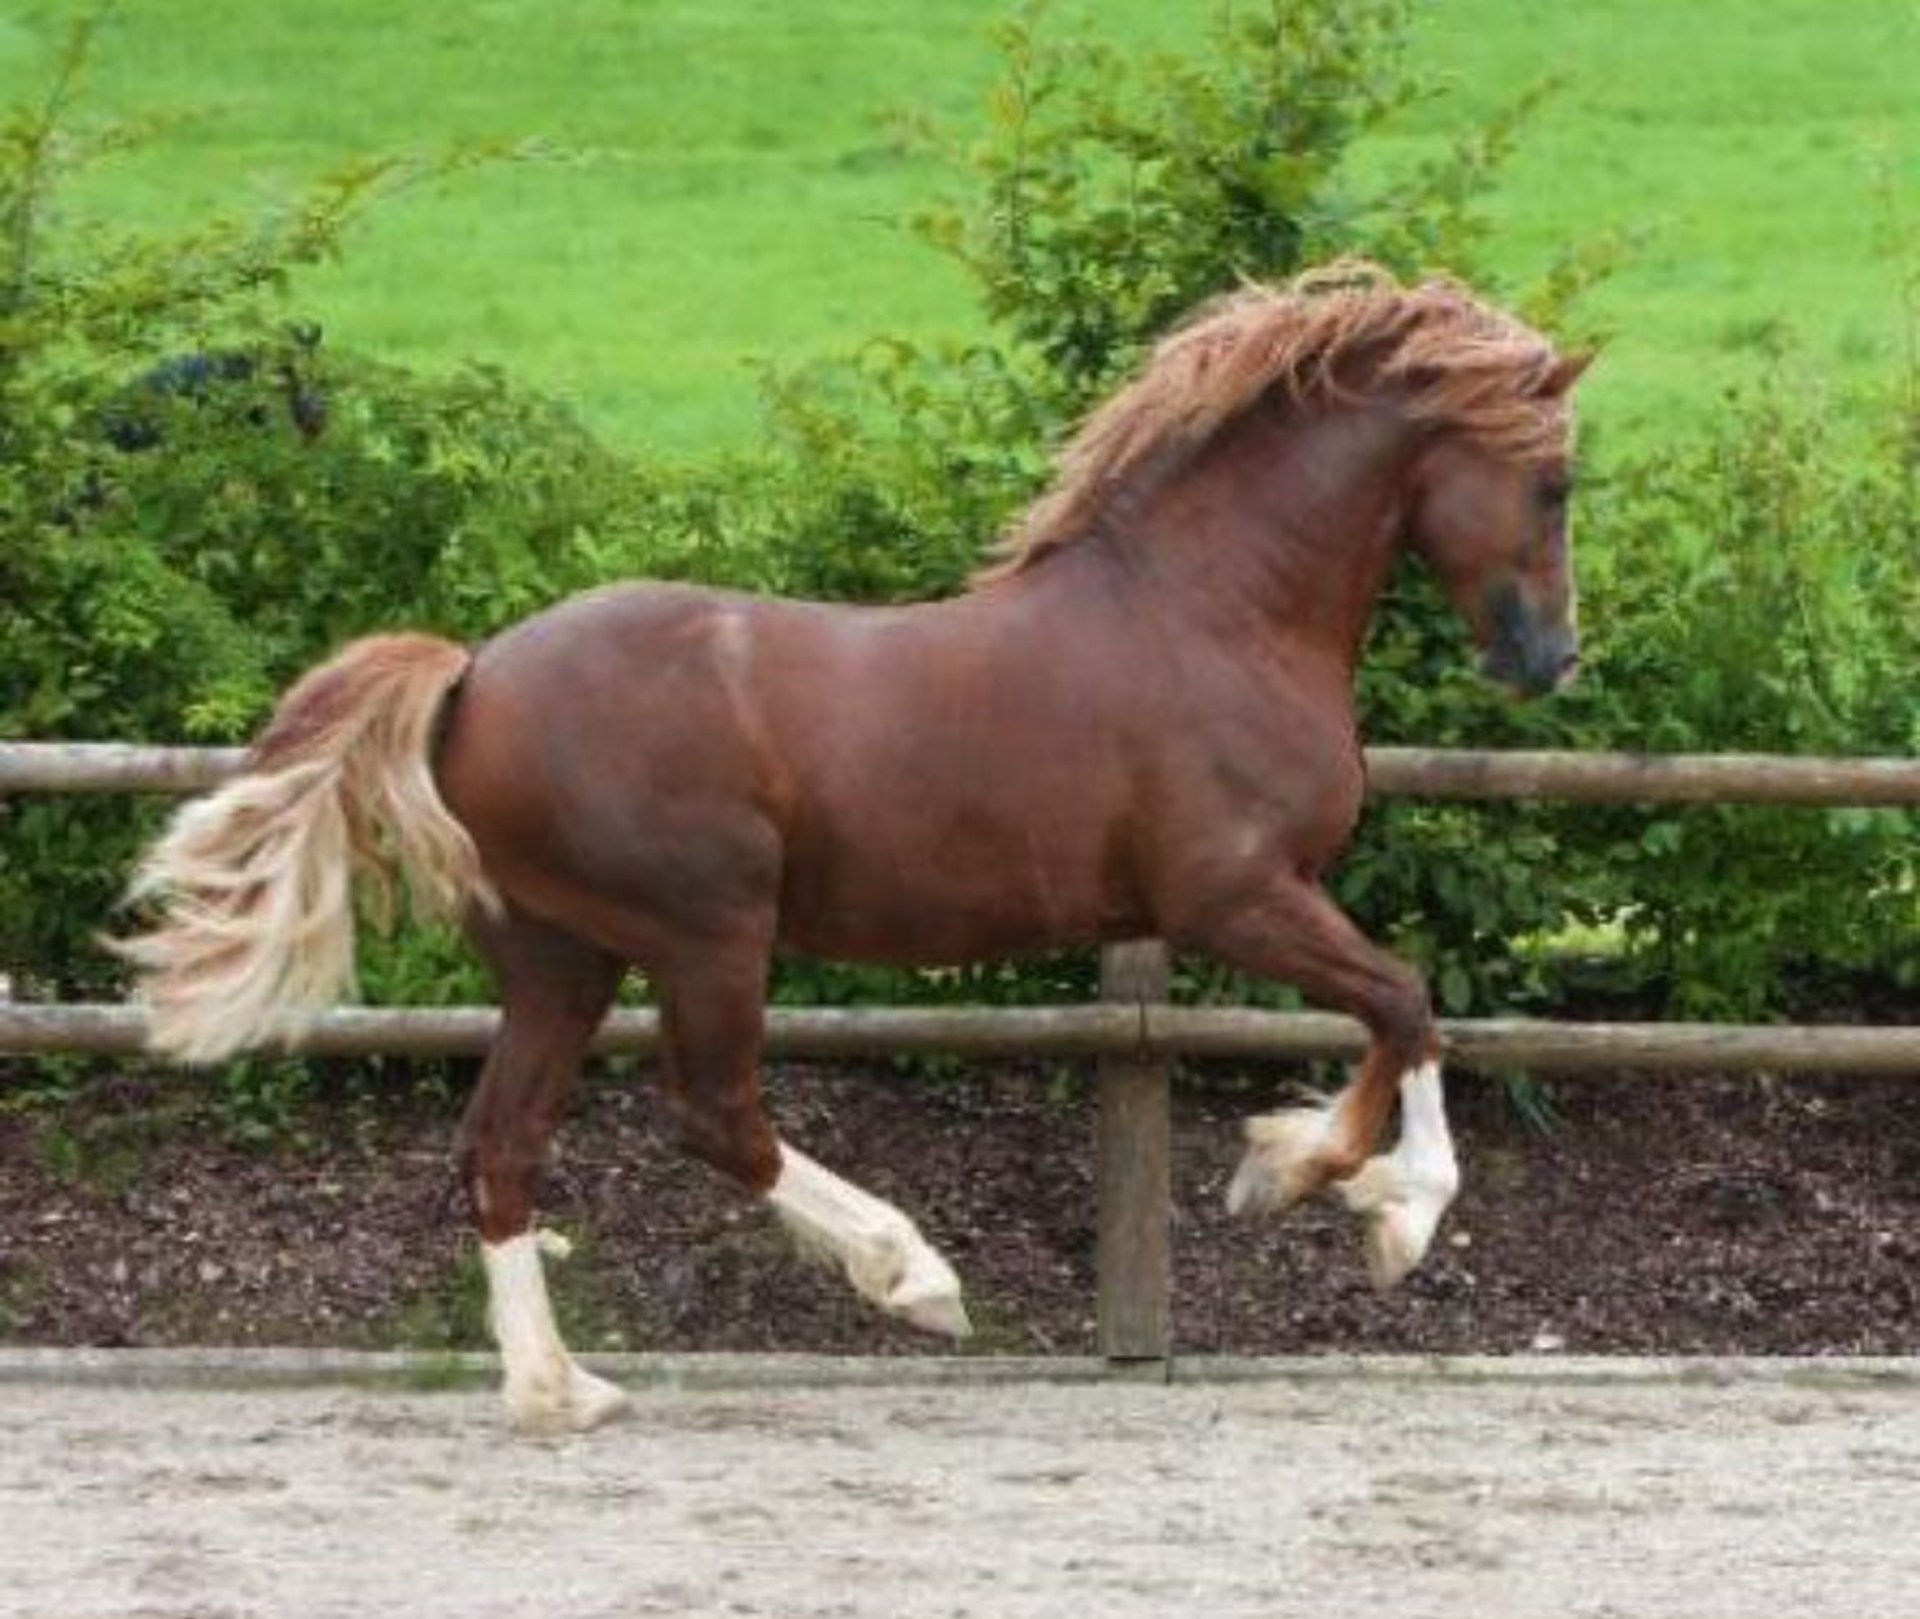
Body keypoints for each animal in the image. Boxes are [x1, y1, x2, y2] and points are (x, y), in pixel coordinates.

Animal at [116, 261, 1588, 1434]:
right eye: (1556, 481)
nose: (1549, 658)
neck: (1213, 610)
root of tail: (473, 676)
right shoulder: (1235, 894)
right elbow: (1406, 1003)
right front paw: (1354, 1195)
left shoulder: (1249, 903)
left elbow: (1399, 1015)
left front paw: (1324, 1176)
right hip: (710, 932)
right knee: (715, 1113)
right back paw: (912, 1273)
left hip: (561, 955)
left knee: (505, 1141)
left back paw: (557, 1388)